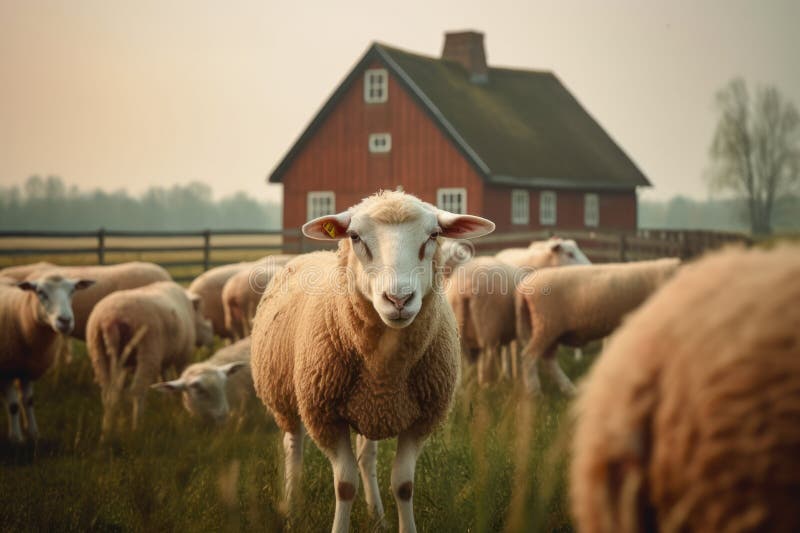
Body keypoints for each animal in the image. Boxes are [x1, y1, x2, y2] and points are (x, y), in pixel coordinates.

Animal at [0, 273, 94, 442]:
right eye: (40, 292)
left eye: (72, 291)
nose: (65, 321)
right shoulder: (6, 371)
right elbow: (13, 406)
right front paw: (16, 438)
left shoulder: (27, 370)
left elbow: (28, 401)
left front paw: (33, 433)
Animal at [86, 281, 214, 433]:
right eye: (206, 324)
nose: (212, 343)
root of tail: (110, 319)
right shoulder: (183, 355)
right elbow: (177, 377)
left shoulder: (146, 361)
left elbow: (164, 377)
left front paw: (169, 401)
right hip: (148, 350)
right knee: (137, 391)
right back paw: (137, 427)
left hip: (98, 351)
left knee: (108, 392)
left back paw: (107, 428)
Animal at [251, 190, 494, 532]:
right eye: (354, 236)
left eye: (433, 235)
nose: (398, 300)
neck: (385, 372)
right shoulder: (325, 416)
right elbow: (344, 485)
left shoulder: (422, 419)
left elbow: (404, 485)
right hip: (284, 396)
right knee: (293, 447)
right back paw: (292, 509)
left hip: (368, 411)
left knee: (366, 457)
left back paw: (376, 515)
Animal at [515, 258, 679, 396]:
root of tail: (524, 288)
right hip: (547, 324)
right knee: (529, 356)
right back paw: (535, 392)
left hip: (549, 329)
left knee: (548, 360)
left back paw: (569, 389)